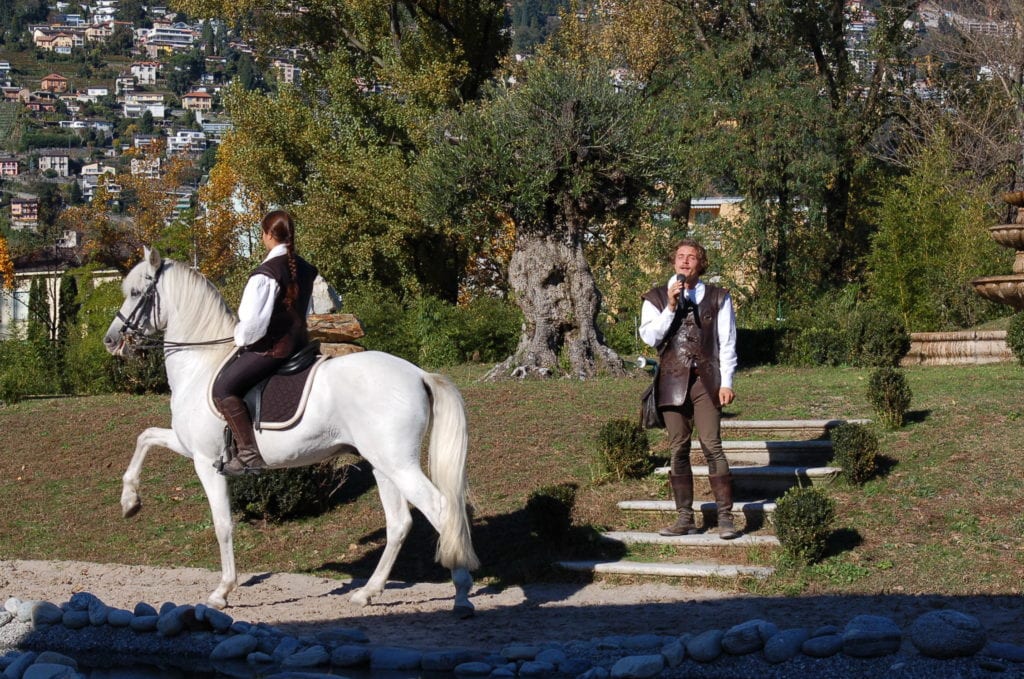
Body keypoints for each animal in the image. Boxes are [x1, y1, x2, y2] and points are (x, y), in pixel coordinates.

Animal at [103, 247, 479, 615]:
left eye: (136, 293)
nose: (110, 340)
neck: (202, 364)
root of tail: (418, 374)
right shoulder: (187, 446)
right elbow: (145, 436)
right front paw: (130, 502)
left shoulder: (206, 461)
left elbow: (223, 525)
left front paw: (222, 592)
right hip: (382, 464)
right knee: (400, 522)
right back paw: (367, 593)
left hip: (398, 464)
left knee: (441, 510)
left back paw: (461, 594)